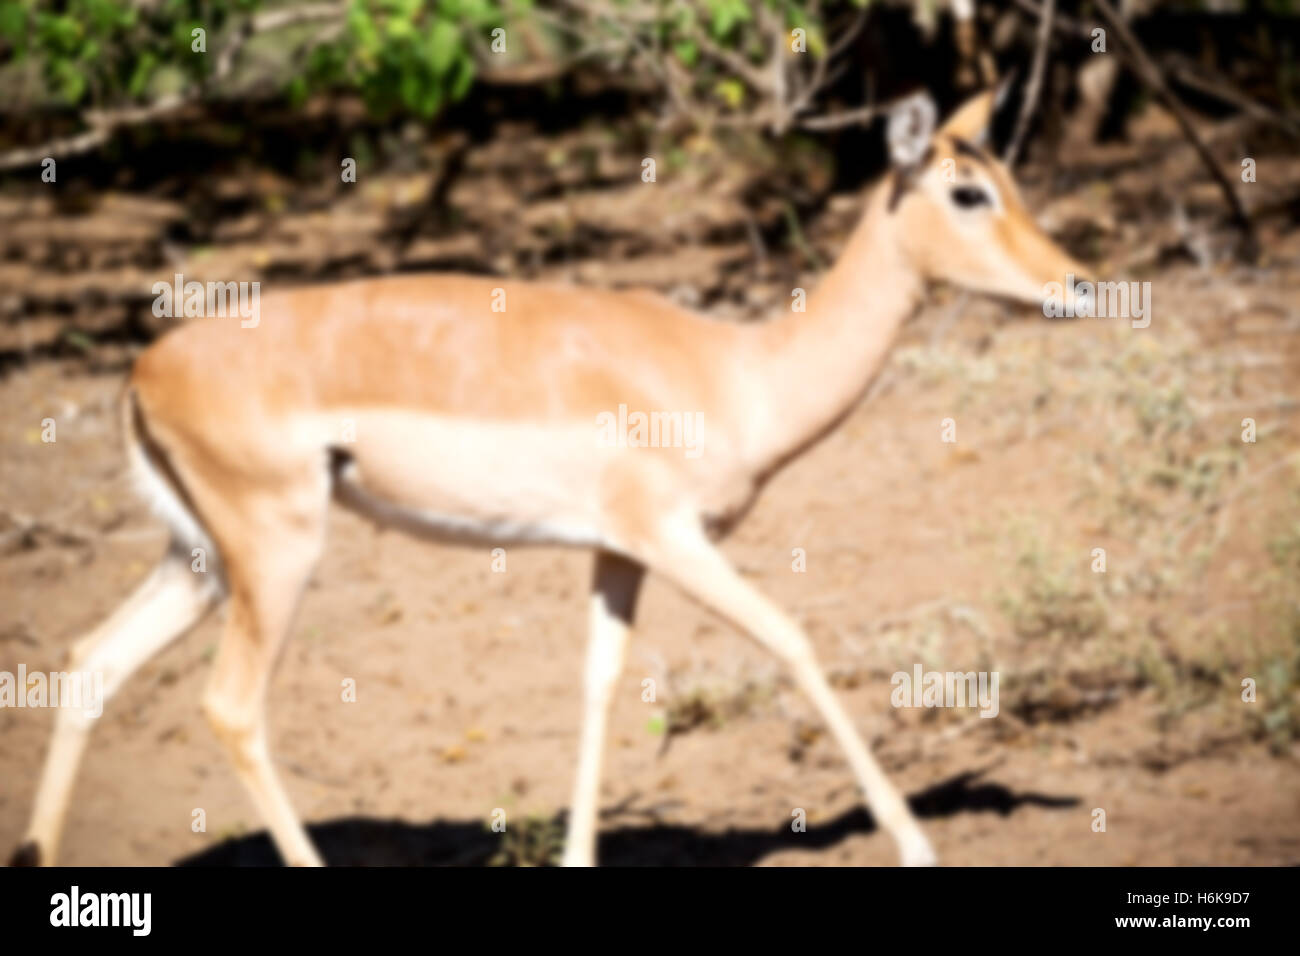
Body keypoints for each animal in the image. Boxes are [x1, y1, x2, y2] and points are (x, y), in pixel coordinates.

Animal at [10, 88, 1087, 868]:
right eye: (967, 192)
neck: (737, 370)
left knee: (90, 661)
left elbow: (599, 682)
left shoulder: (618, 553)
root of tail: (143, 371)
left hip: (199, 559)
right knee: (230, 706)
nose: (1076, 284)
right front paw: (917, 843)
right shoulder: (673, 537)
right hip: (274, 550)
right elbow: (792, 638)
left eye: (1007, 177)